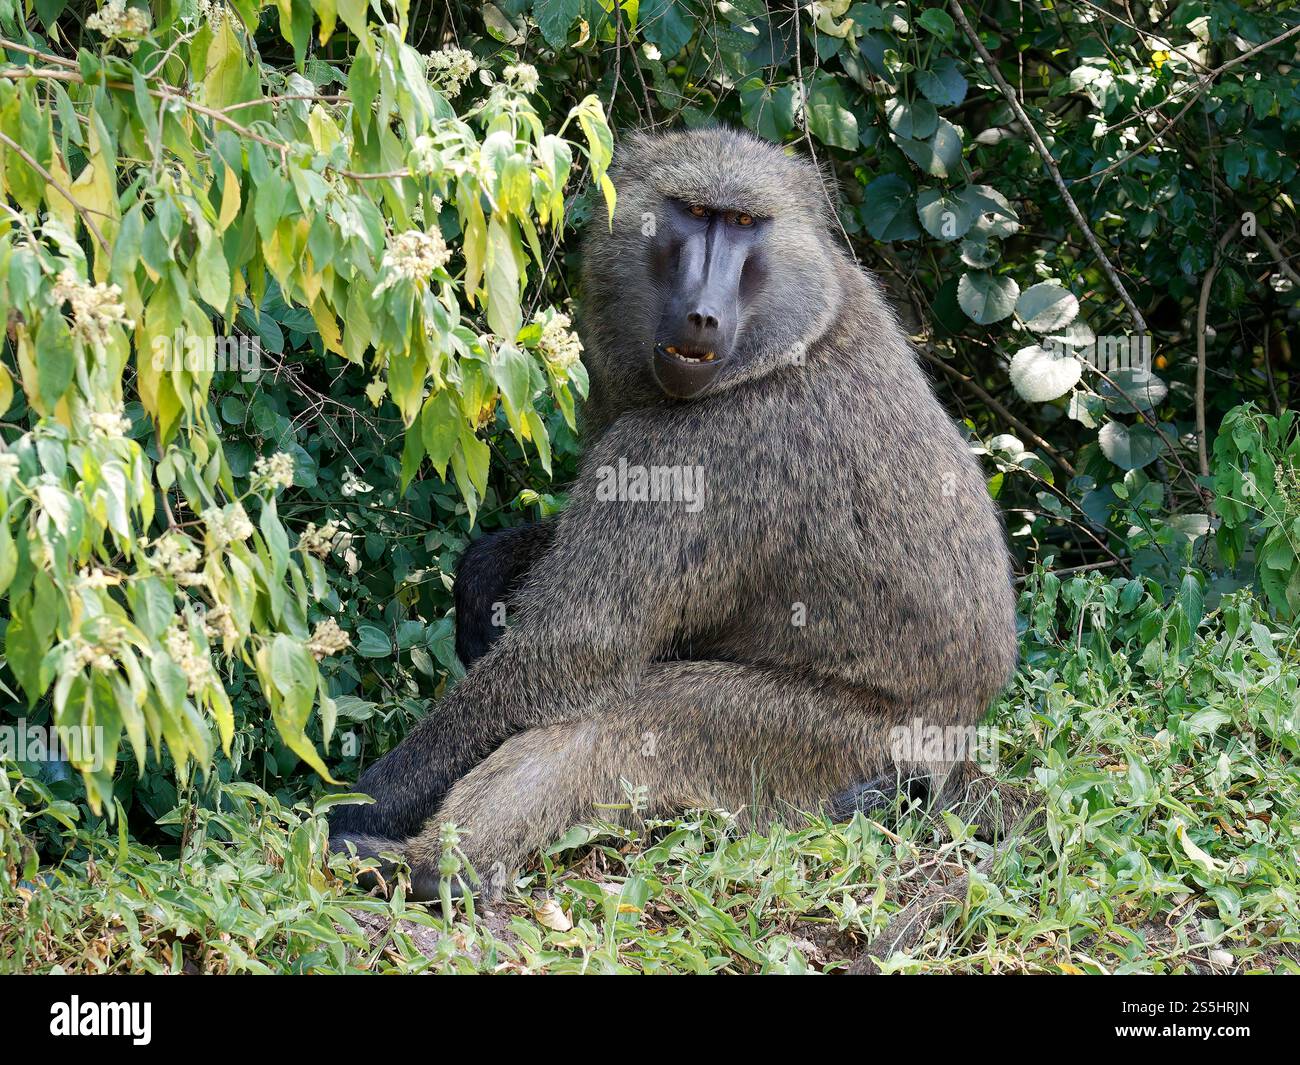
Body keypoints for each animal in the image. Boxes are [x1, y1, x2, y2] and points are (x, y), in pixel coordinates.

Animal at [328, 127, 1021, 899]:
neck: (786, 338)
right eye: (692, 212)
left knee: (608, 726)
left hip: (831, 742)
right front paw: (483, 576)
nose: (702, 313)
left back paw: (432, 870)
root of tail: (957, 743)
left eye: (744, 222)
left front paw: (355, 803)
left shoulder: (701, 453)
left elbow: (569, 654)